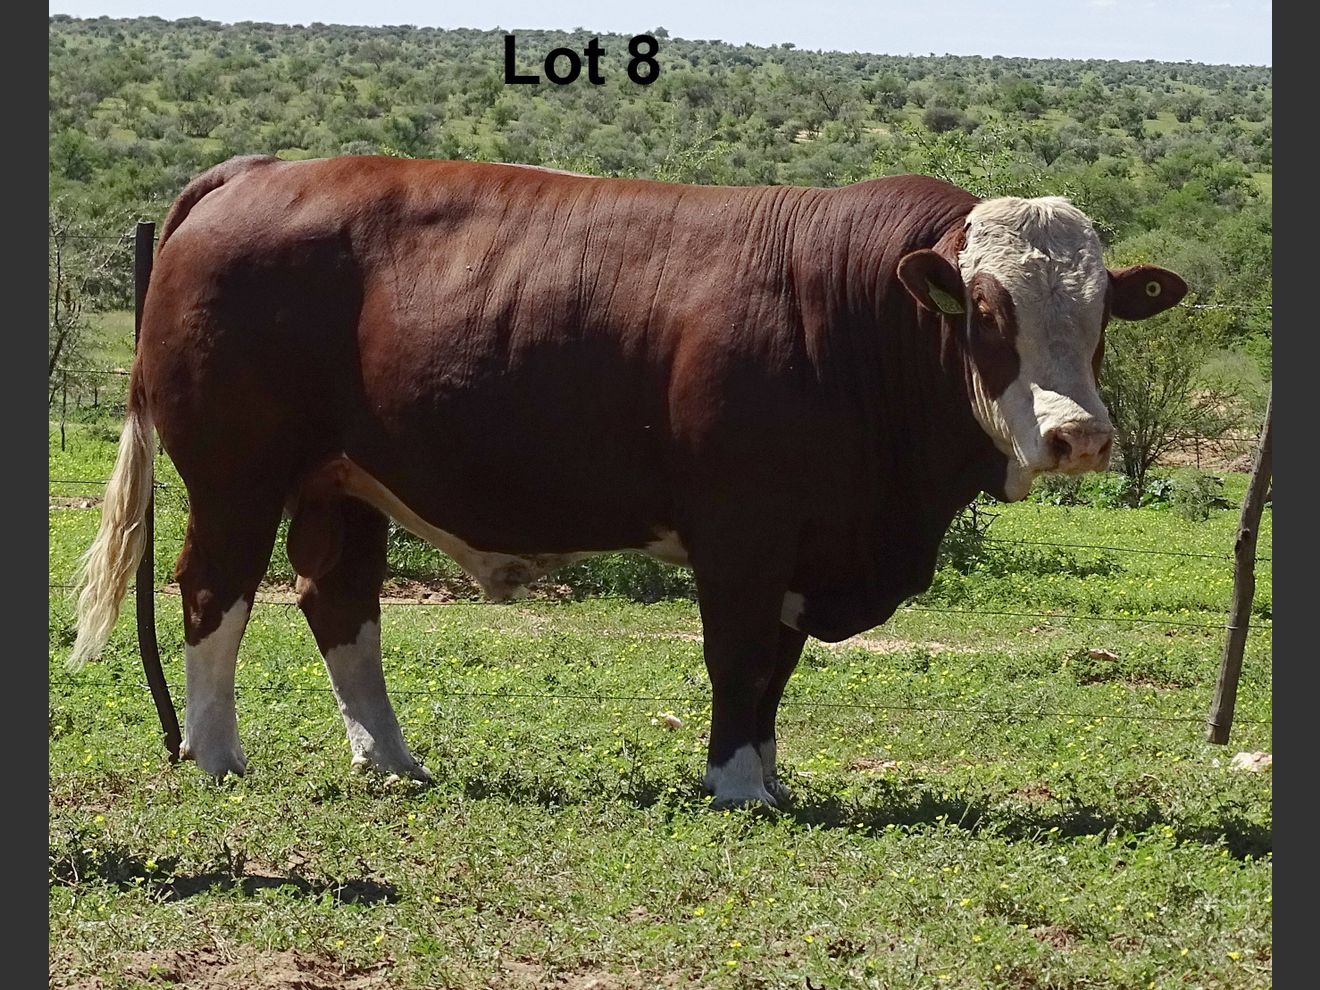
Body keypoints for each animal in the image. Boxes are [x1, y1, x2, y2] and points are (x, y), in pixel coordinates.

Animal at [71, 155, 1186, 807]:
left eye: (1098, 314)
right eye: (987, 313)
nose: (1079, 436)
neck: (855, 312)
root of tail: (251, 172)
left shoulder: (802, 543)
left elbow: (777, 669)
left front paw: (768, 773)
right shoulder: (742, 532)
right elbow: (739, 658)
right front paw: (735, 783)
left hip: (342, 480)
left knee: (338, 600)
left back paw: (388, 756)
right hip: (236, 473)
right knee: (215, 588)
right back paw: (216, 754)